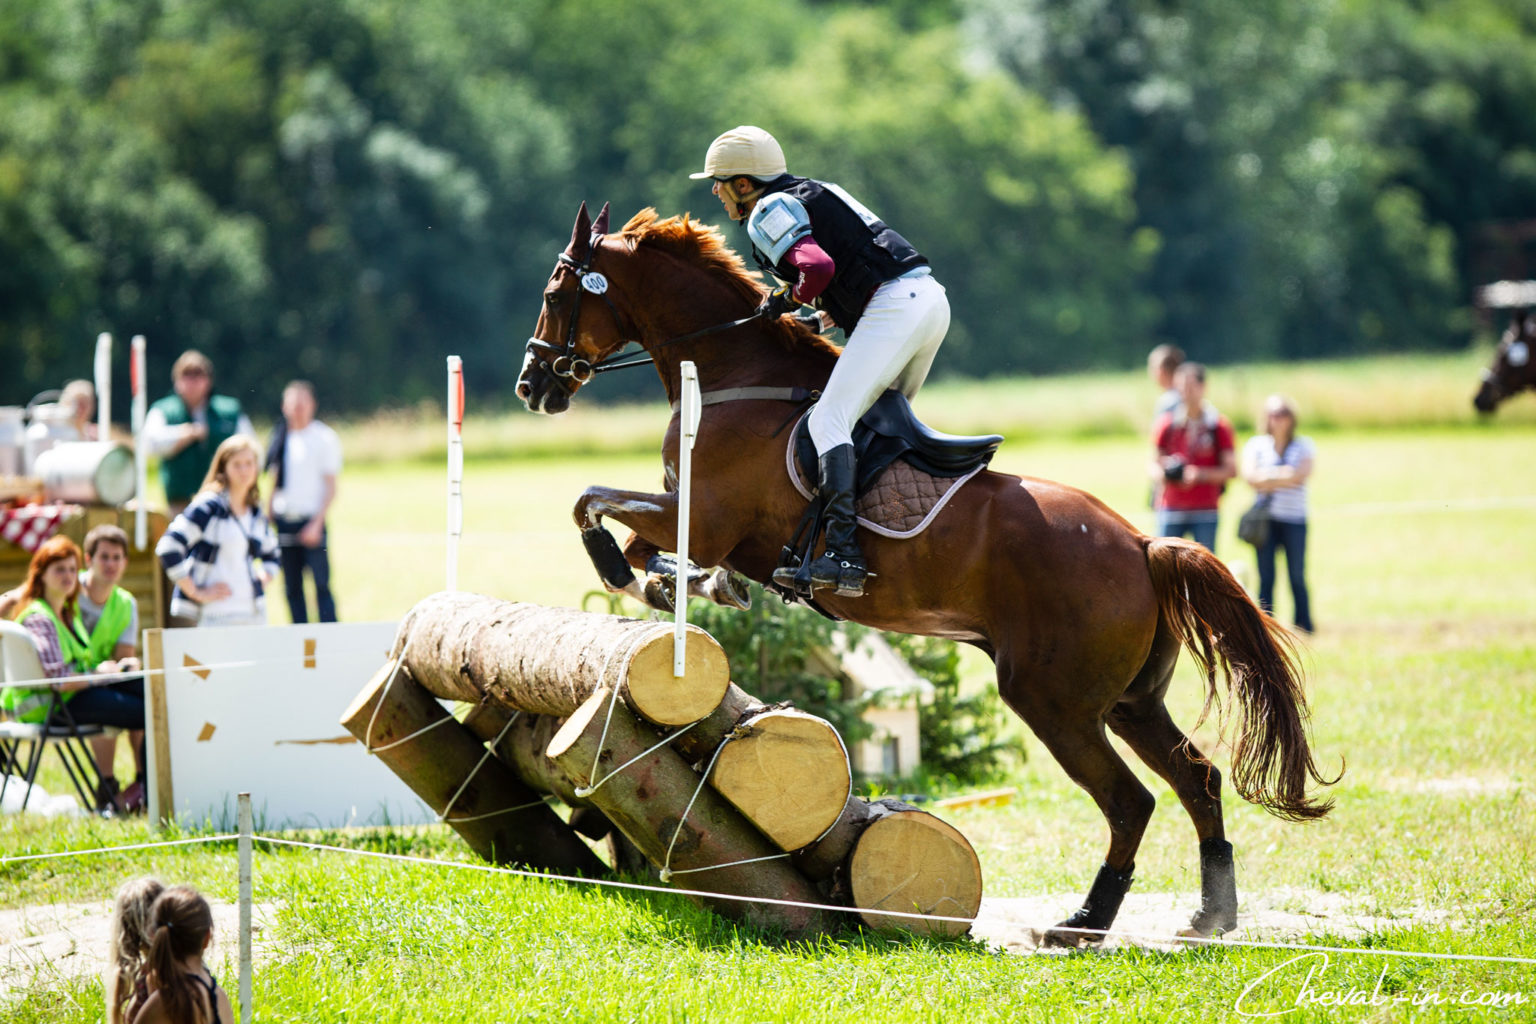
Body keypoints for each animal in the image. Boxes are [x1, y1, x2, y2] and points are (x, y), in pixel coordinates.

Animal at [517, 202, 1338, 943]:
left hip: (1055, 700)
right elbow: (637, 545)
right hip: (1129, 700)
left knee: (1131, 801)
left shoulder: (706, 517)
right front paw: (686, 586)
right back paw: (1210, 914)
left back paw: (1084, 923)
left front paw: (659, 579)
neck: (732, 375)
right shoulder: (693, 518)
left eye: (556, 291)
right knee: (1197, 777)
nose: (531, 386)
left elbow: (593, 506)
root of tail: (1141, 544)